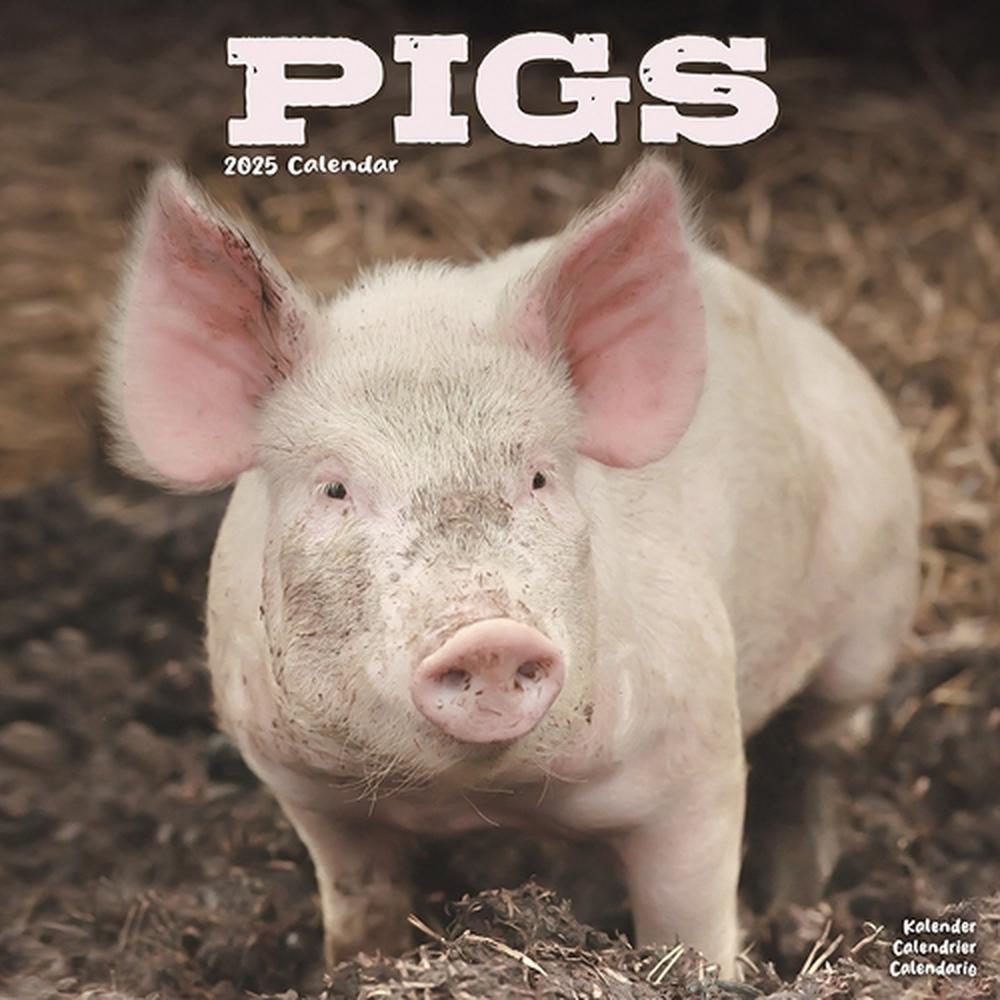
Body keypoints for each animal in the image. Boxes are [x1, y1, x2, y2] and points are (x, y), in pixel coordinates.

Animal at [101, 157, 920, 977]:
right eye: (334, 489)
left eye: (538, 478)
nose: (488, 636)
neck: (483, 796)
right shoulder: (304, 784)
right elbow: (360, 901)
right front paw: (350, 970)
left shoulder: (698, 745)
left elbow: (689, 912)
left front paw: (708, 975)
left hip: (874, 613)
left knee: (823, 746)